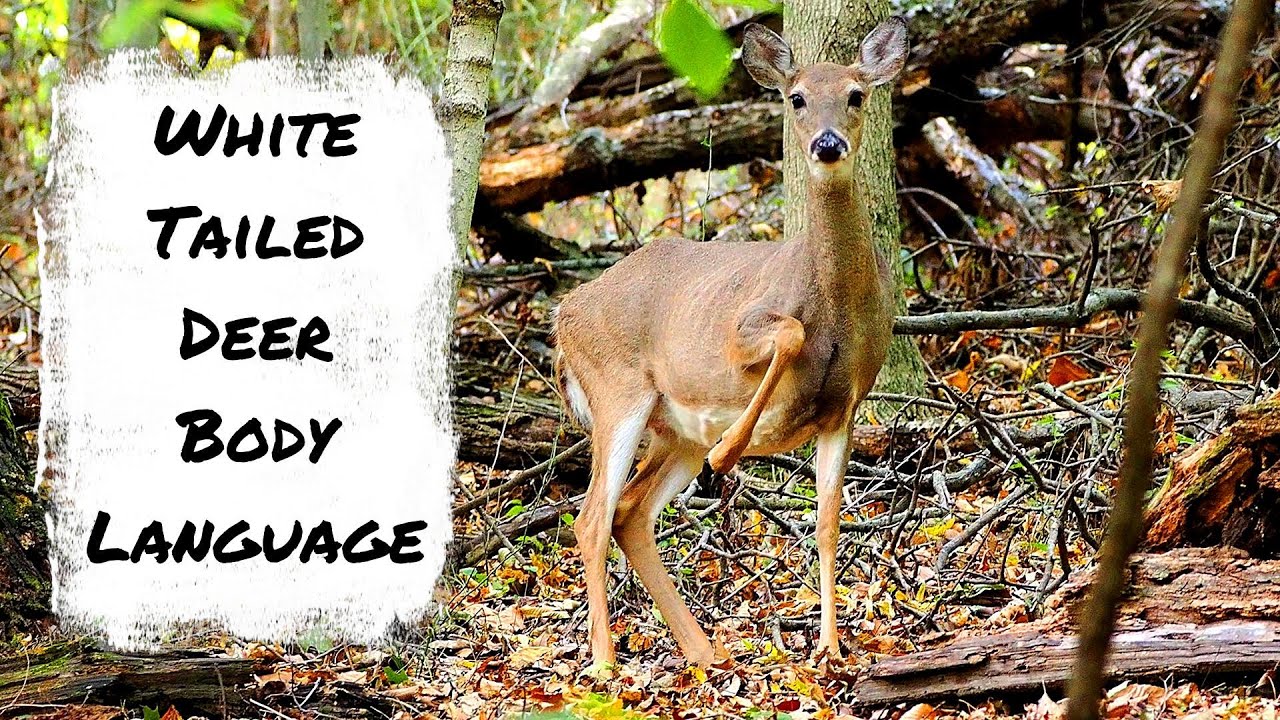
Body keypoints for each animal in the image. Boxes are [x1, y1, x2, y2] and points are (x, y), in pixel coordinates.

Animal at [552, 17, 909, 670]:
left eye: (856, 94)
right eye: (796, 98)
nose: (827, 145)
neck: (835, 301)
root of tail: (564, 315)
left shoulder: (845, 406)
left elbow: (827, 523)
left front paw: (830, 647)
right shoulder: (738, 333)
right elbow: (790, 332)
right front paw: (732, 450)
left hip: (674, 432)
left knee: (629, 513)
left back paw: (705, 651)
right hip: (618, 391)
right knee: (590, 518)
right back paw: (605, 663)